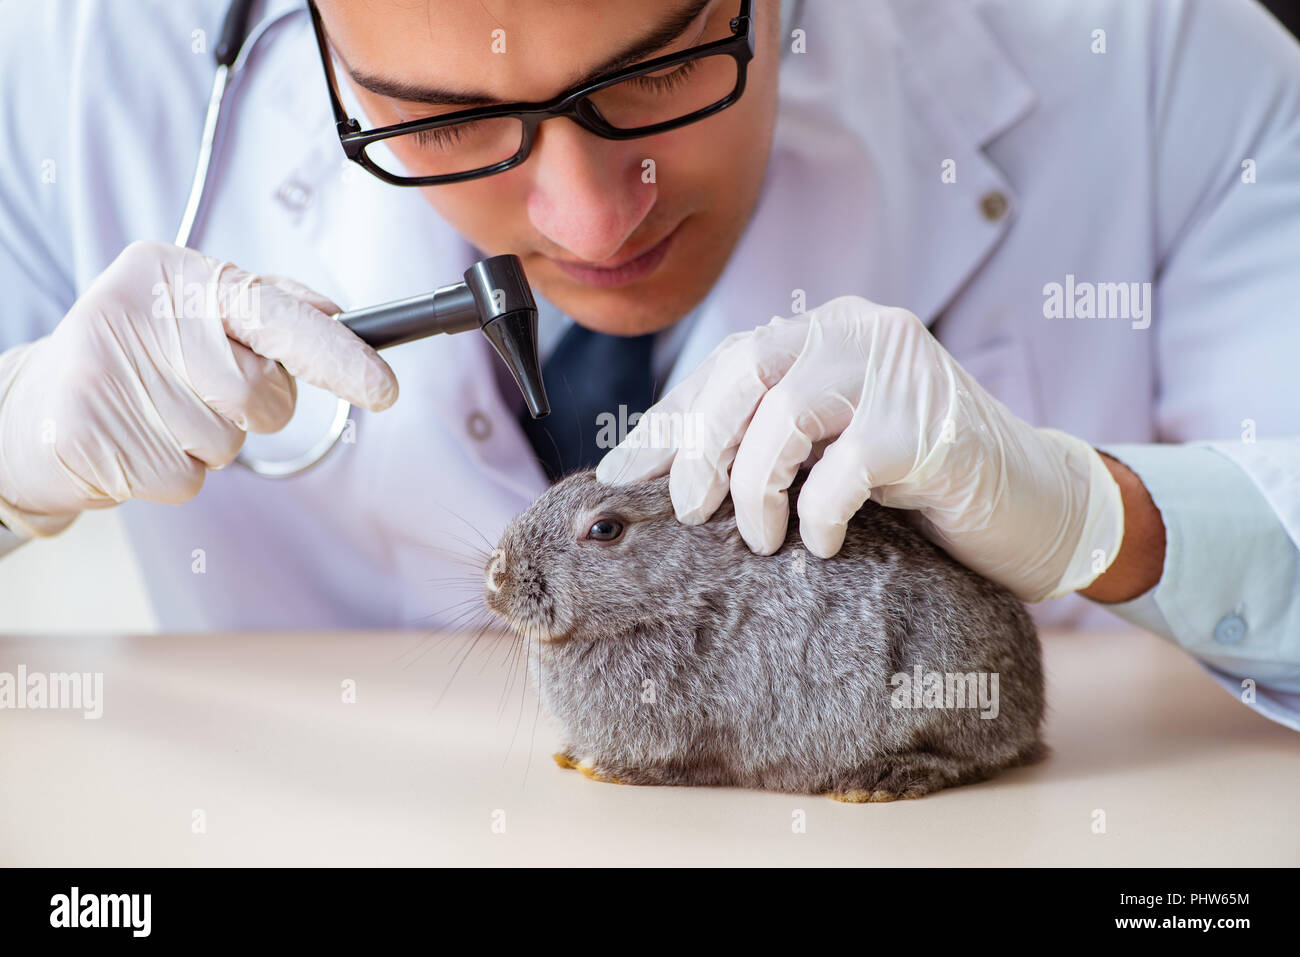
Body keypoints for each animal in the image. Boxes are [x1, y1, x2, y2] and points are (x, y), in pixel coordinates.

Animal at [483, 469, 1046, 801]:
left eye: (605, 529)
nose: (497, 577)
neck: (680, 596)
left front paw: (600, 768)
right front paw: (571, 753)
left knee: (974, 758)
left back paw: (878, 780)